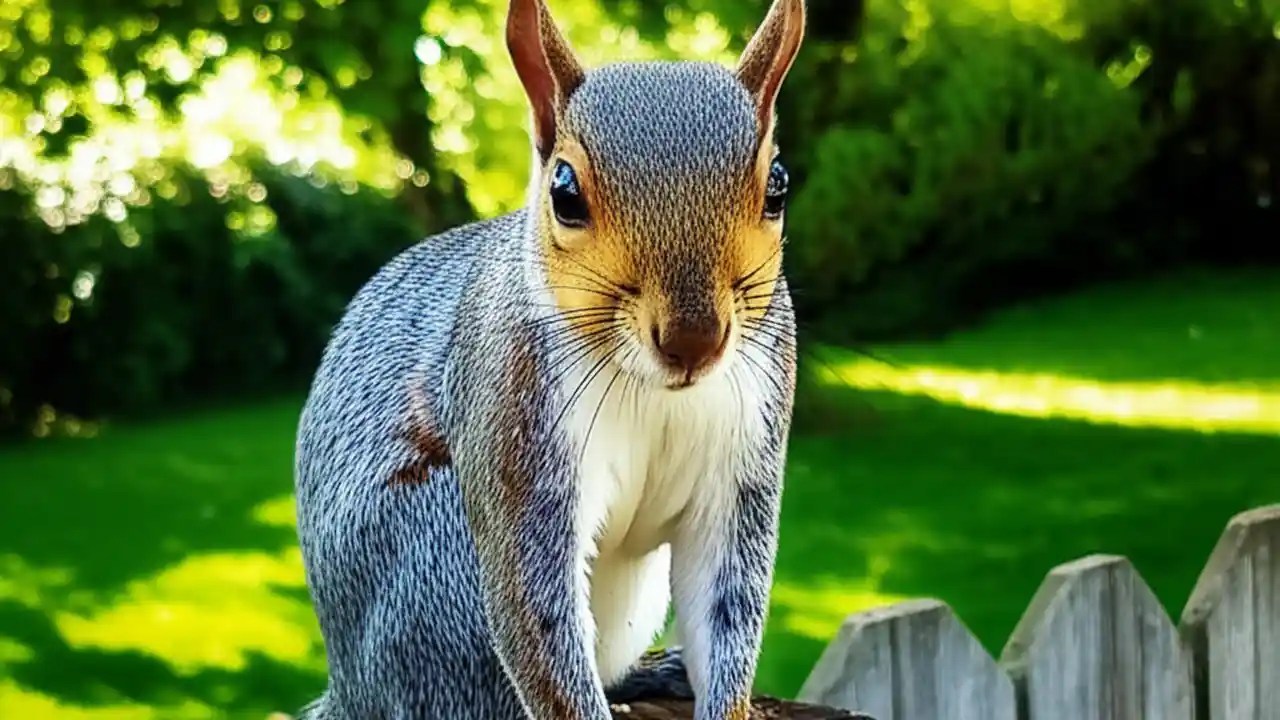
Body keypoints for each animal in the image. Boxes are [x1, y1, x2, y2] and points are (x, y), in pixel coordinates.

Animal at [293, 0, 804, 718]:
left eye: (778, 187)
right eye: (564, 192)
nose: (694, 340)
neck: (651, 388)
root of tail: (350, 690)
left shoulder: (743, 457)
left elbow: (728, 606)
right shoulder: (510, 418)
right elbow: (534, 615)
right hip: (437, 577)